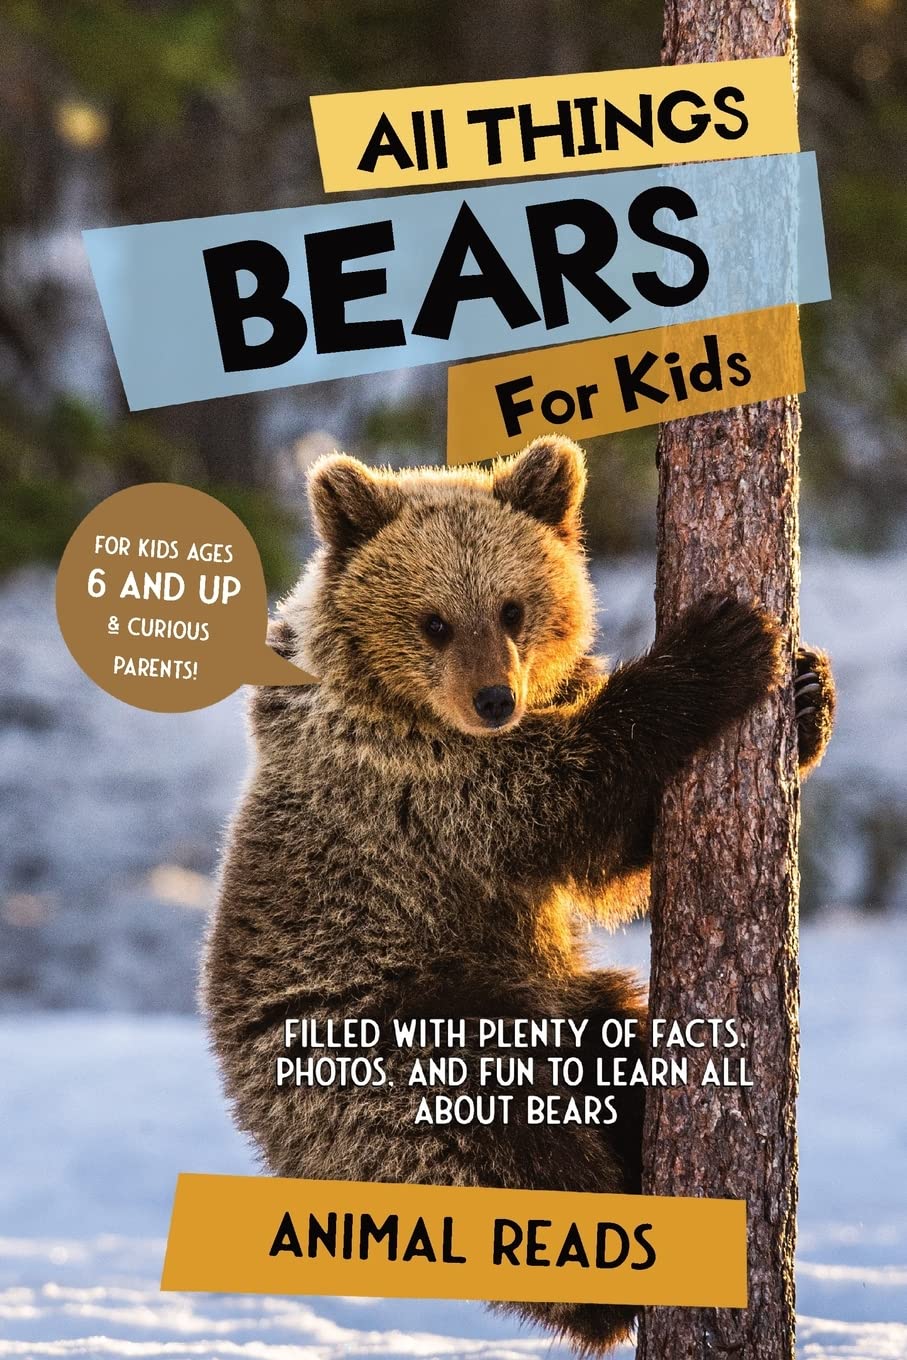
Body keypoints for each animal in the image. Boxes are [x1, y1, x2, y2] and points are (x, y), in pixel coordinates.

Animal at [203, 435, 835, 1355]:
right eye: (433, 620)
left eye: (513, 608)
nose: (493, 698)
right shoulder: (420, 785)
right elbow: (563, 801)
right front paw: (721, 646)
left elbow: (618, 853)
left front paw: (808, 688)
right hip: (394, 1043)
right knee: (508, 1144)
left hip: (555, 999)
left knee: (616, 1038)